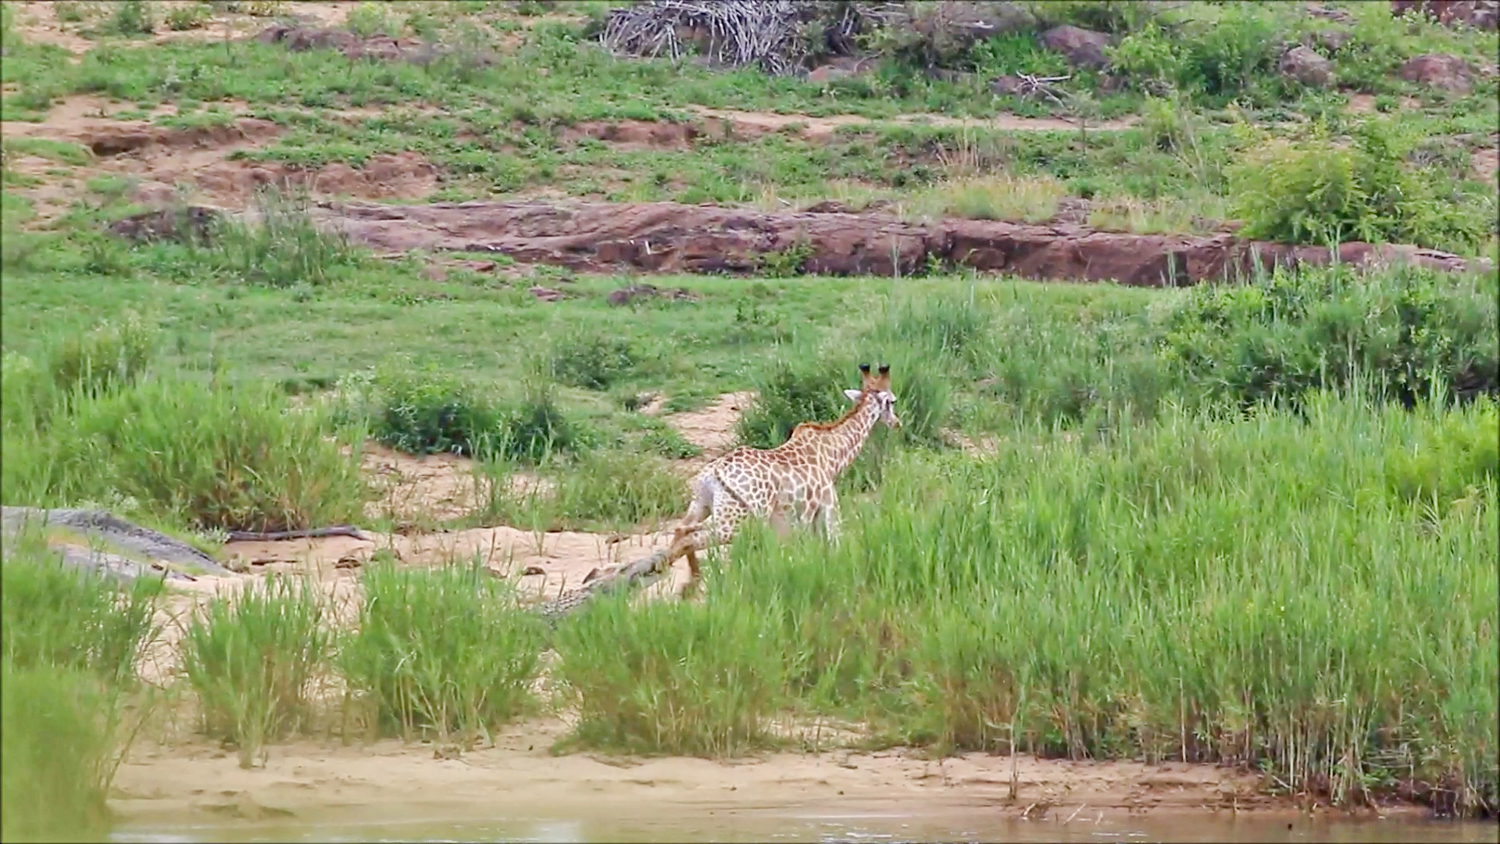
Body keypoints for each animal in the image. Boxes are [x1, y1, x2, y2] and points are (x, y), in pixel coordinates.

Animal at [665, 363, 901, 593]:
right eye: (891, 401)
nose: (896, 423)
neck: (833, 454)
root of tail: (714, 473)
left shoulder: (786, 522)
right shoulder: (826, 507)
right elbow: (832, 545)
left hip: (702, 504)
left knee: (680, 529)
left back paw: (679, 580)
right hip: (735, 519)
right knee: (689, 535)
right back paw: (688, 583)